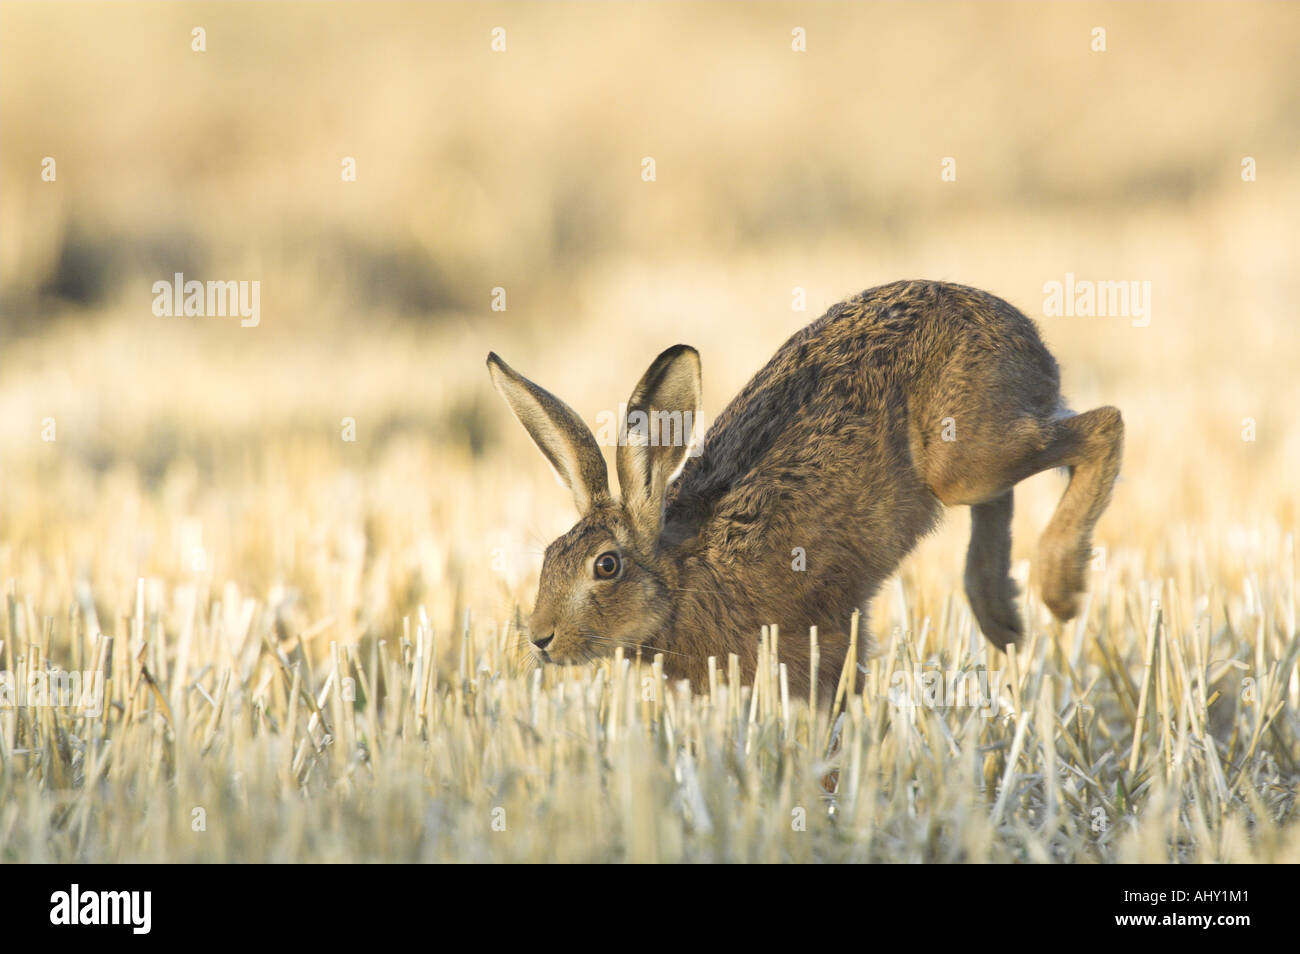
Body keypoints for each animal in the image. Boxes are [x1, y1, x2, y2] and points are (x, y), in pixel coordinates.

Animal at [487, 279, 1123, 700]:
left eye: (607, 566)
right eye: (549, 557)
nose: (540, 638)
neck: (683, 573)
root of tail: (1022, 328)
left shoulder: (821, 634)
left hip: (963, 457)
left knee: (1103, 426)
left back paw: (1059, 587)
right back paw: (1001, 617)